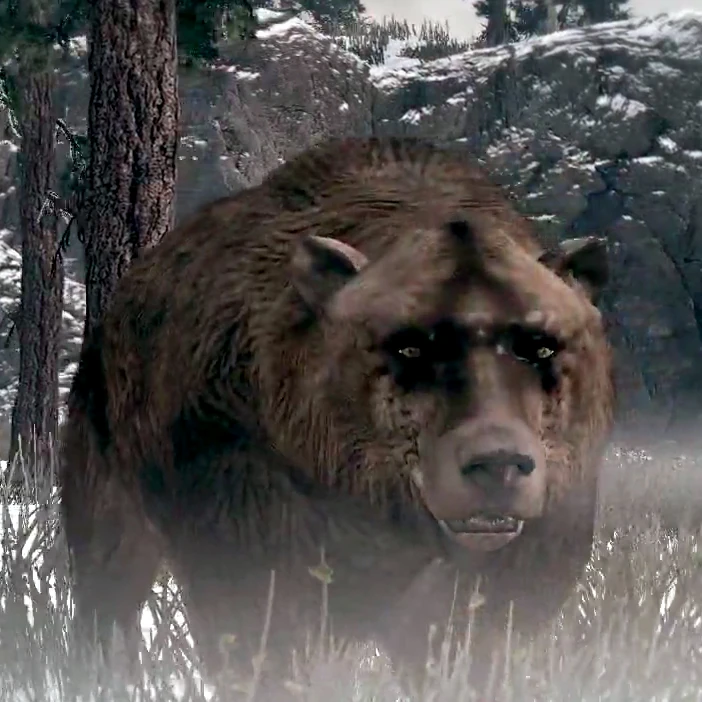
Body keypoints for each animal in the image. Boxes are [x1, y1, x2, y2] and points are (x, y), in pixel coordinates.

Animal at [59, 136, 615, 697]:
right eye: (409, 346)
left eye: (540, 345)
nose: (497, 461)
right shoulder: (234, 493)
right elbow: (263, 634)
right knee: (107, 586)